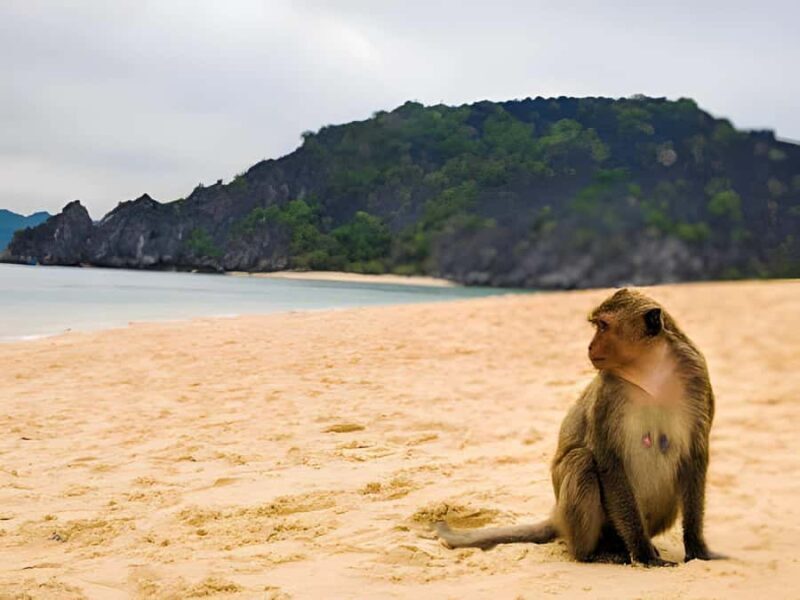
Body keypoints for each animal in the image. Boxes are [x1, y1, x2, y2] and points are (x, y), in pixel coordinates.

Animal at [435, 288, 726, 566]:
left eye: (603, 326)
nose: (589, 346)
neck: (651, 371)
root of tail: (556, 515)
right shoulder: (608, 393)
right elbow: (609, 463)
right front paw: (644, 555)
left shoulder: (697, 377)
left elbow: (694, 458)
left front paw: (697, 549)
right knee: (581, 460)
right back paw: (593, 554)